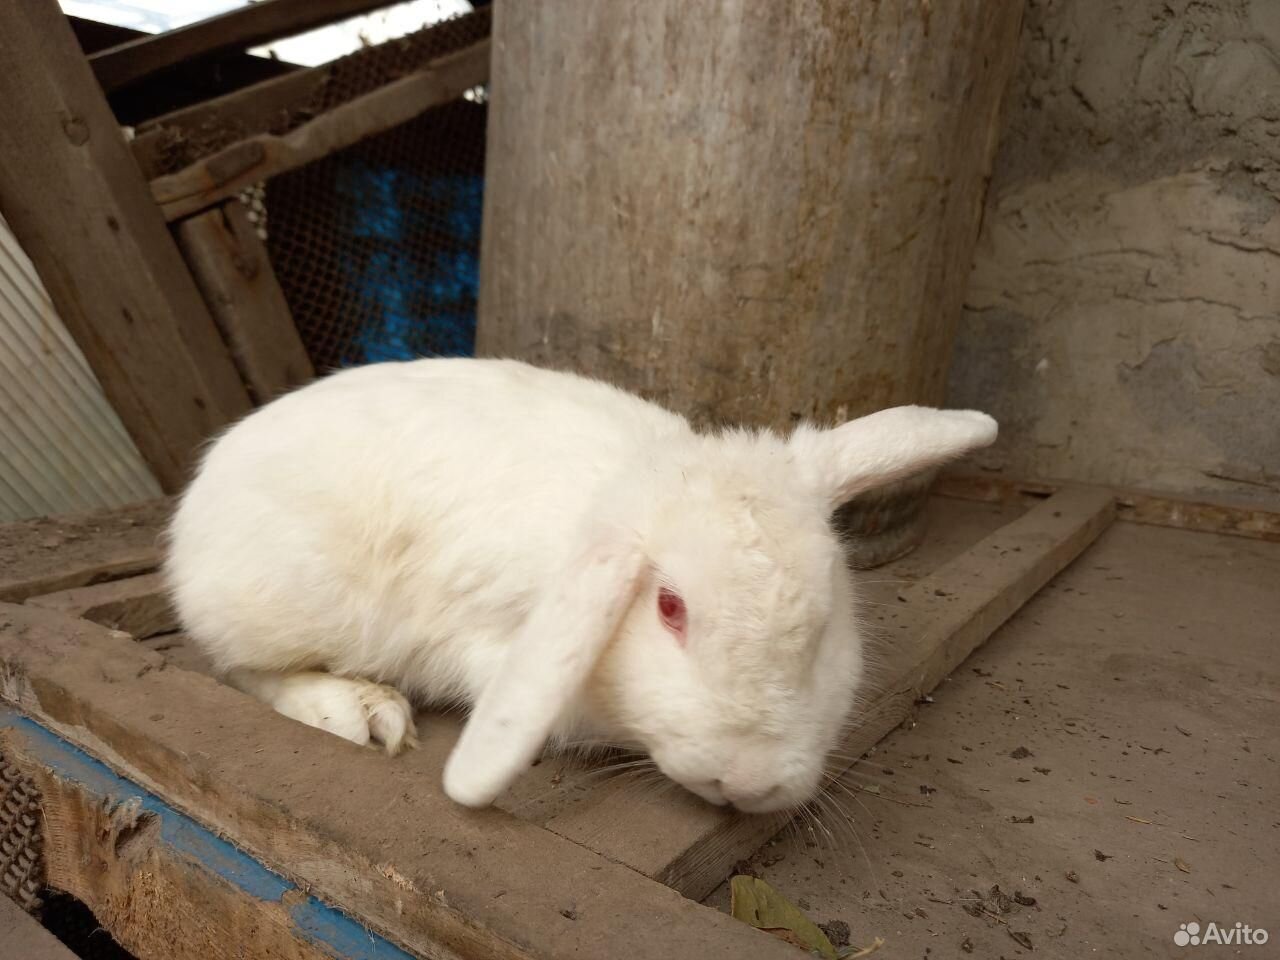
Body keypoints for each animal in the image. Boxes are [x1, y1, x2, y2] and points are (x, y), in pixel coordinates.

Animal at [164, 357, 996, 812]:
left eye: (825, 627)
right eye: (670, 609)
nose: (749, 780)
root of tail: (199, 499)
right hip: (288, 601)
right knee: (241, 667)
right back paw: (359, 711)